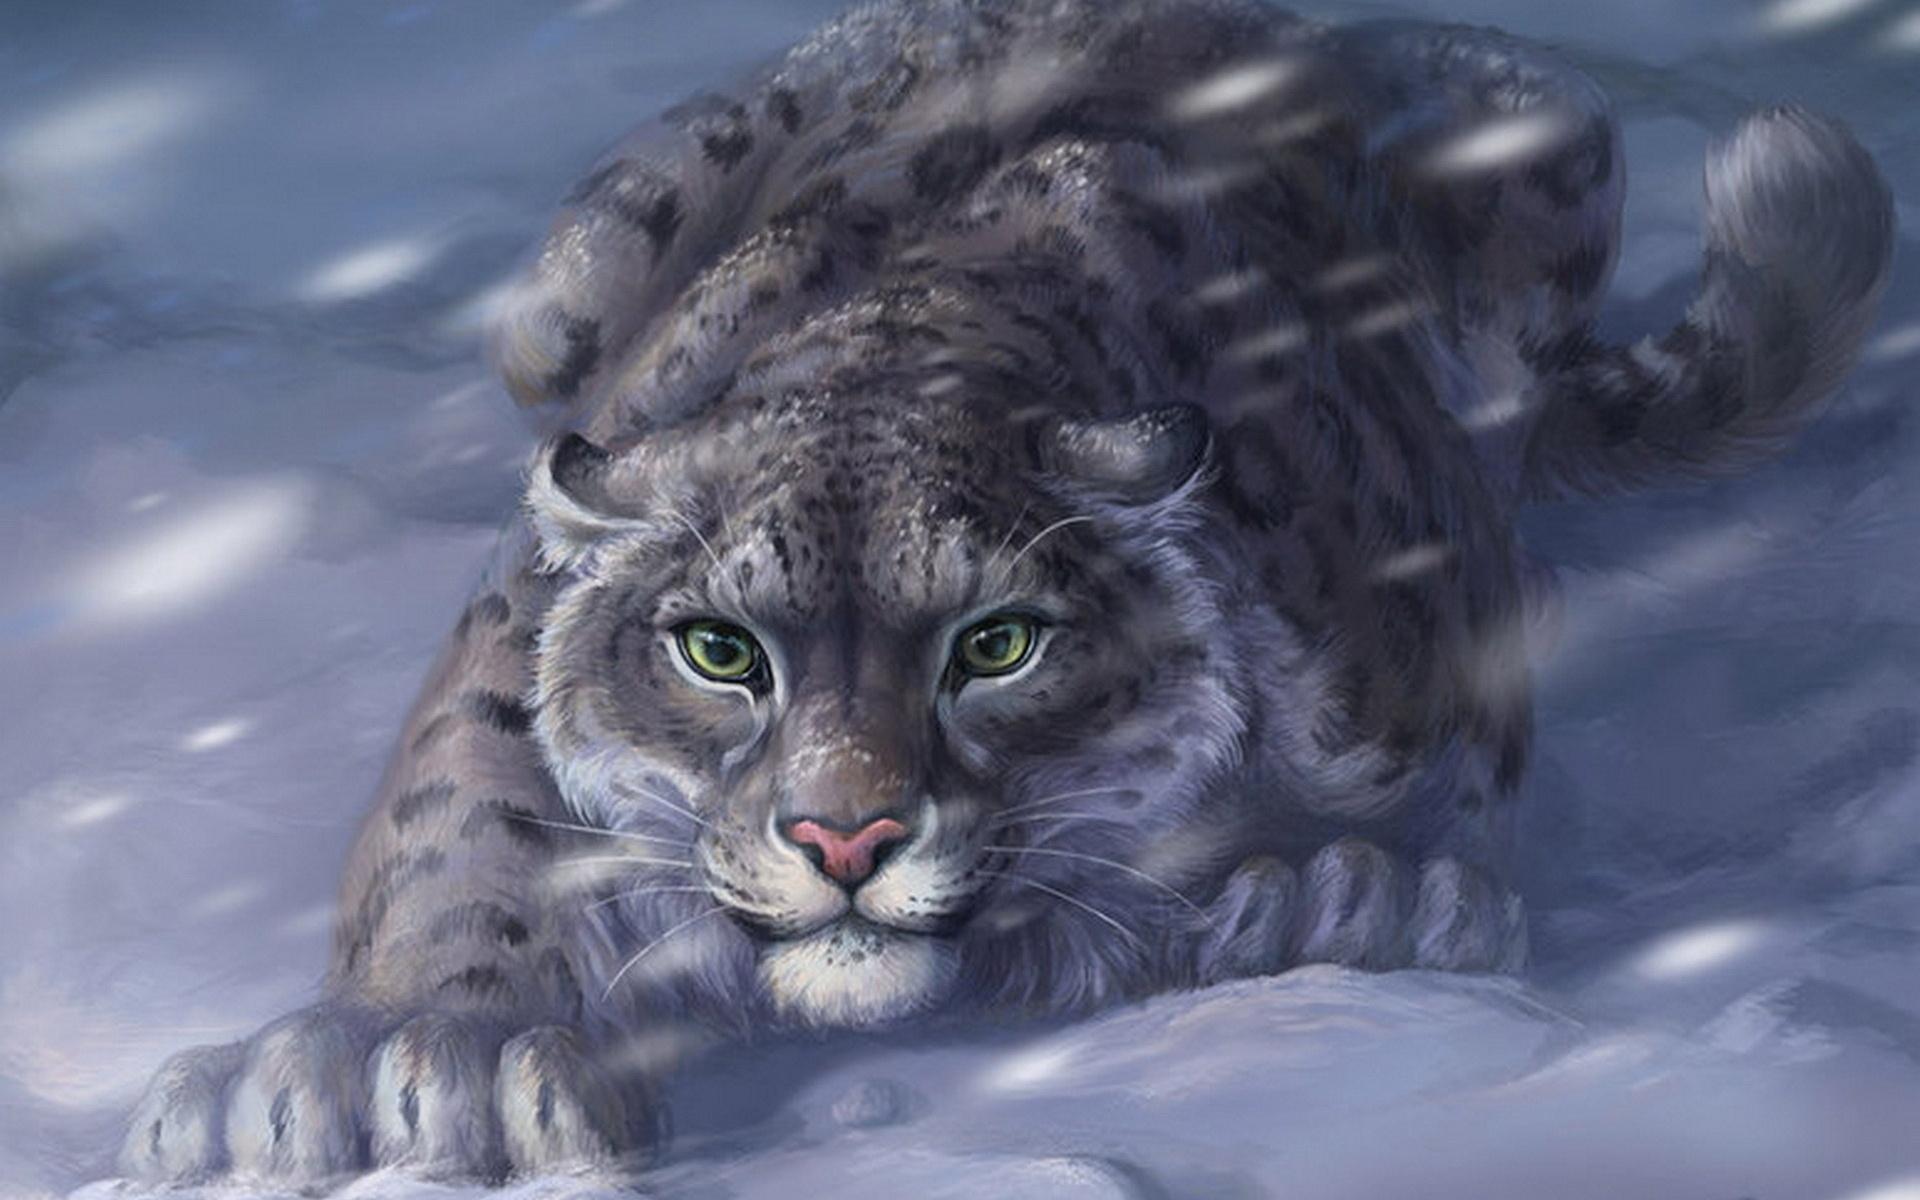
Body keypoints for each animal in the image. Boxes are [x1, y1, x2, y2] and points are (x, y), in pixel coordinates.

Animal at [117, 0, 1892, 1187]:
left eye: (997, 645)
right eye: (719, 652)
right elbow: (460, 804)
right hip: (552, 302)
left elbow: (1436, 796)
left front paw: (1336, 897)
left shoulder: (1420, 652)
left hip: (1544, 134)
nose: (844, 838)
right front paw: (419, 1062)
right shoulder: (515, 612)